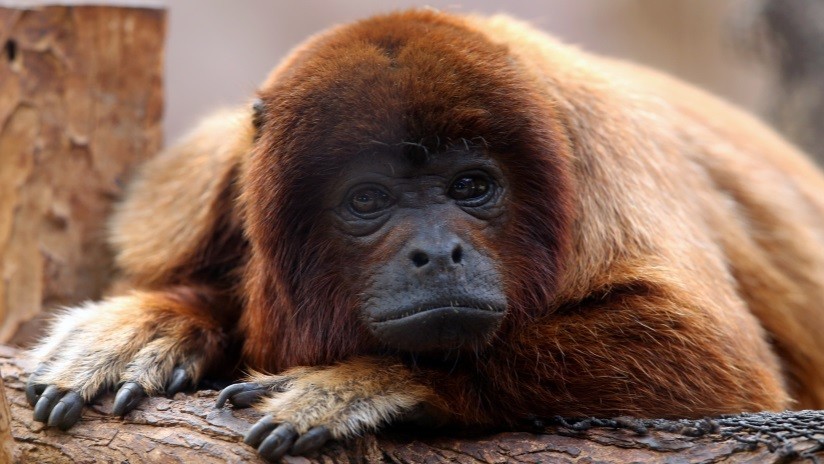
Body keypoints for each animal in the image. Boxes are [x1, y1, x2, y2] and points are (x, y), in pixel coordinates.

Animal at [25, 9, 824, 462]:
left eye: (470, 187)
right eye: (368, 199)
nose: (438, 252)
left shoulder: (596, 144)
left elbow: (717, 362)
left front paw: (380, 379)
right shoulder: (204, 184)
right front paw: (151, 324)